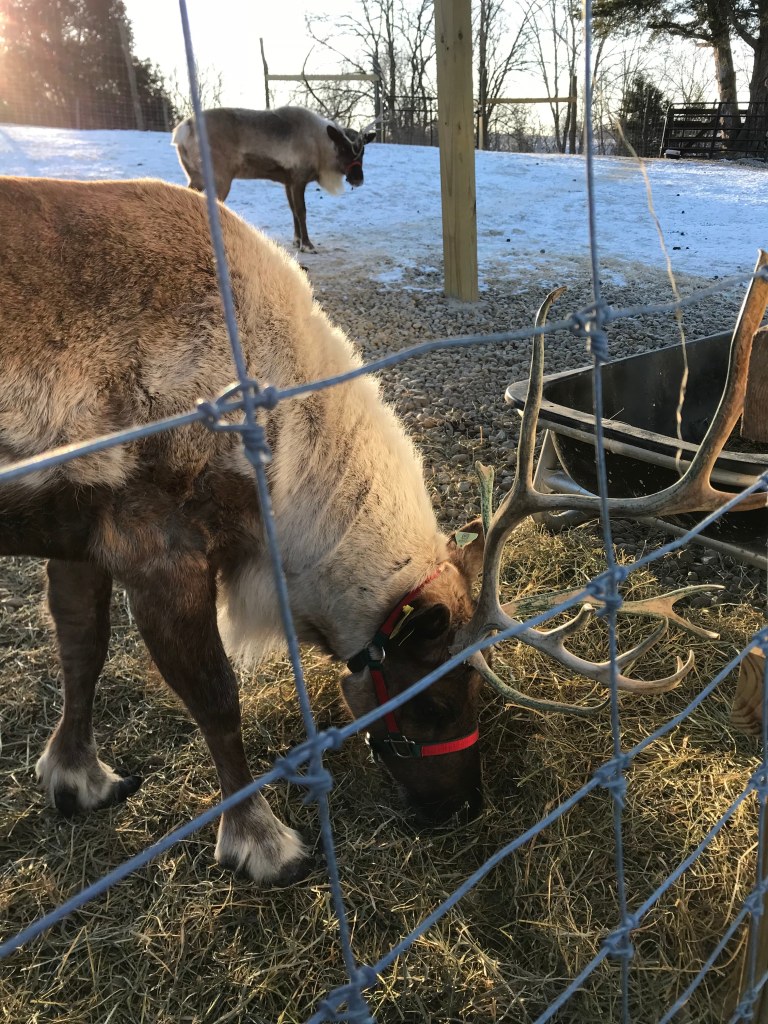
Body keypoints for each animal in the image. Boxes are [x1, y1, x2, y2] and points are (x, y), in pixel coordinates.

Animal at [0, 174, 765, 888]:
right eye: (436, 698)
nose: (465, 808)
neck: (282, 461)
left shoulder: (79, 534)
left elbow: (82, 648)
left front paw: (76, 775)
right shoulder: (158, 546)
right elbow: (216, 700)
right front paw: (260, 841)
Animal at [171, 105, 376, 253]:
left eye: (363, 151)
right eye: (343, 148)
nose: (358, 179)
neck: (320, 145)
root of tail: (183, 129)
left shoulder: (288, 182)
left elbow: (293, 211)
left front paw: (297, 240)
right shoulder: (298, 179)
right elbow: (302, 211)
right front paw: (307, 245)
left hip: (196, 177)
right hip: (220, 179)